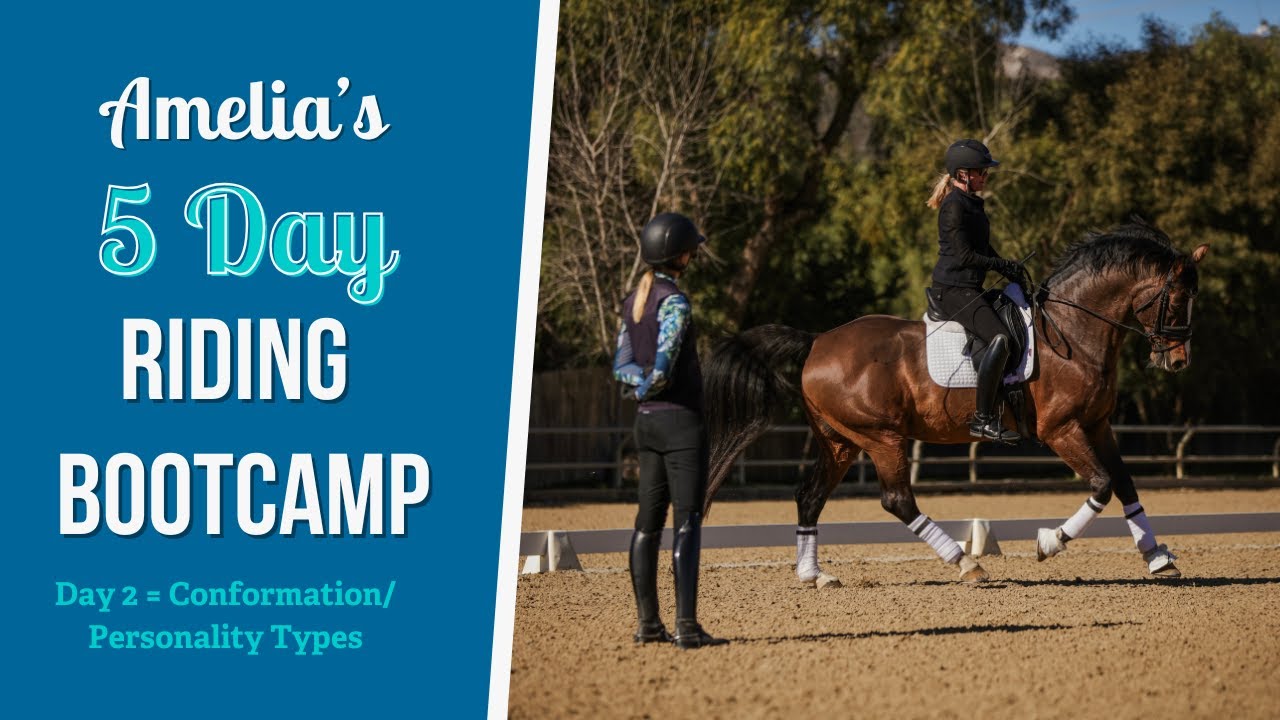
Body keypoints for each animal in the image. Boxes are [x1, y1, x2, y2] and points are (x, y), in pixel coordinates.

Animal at [702, 221, 1209, 584]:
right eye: (1177, 299)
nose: (1178, 360)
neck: (1073, 331)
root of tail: (815, 342)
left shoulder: (1099, 425)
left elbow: (1125, 484)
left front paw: (1158, 556)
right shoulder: (1061, 429)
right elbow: (1102, 485)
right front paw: (1049, 542)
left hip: (840, 442)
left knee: (810, 497)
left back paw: (814, 575)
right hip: (880, 437)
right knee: (897, 500)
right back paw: (967, 564)